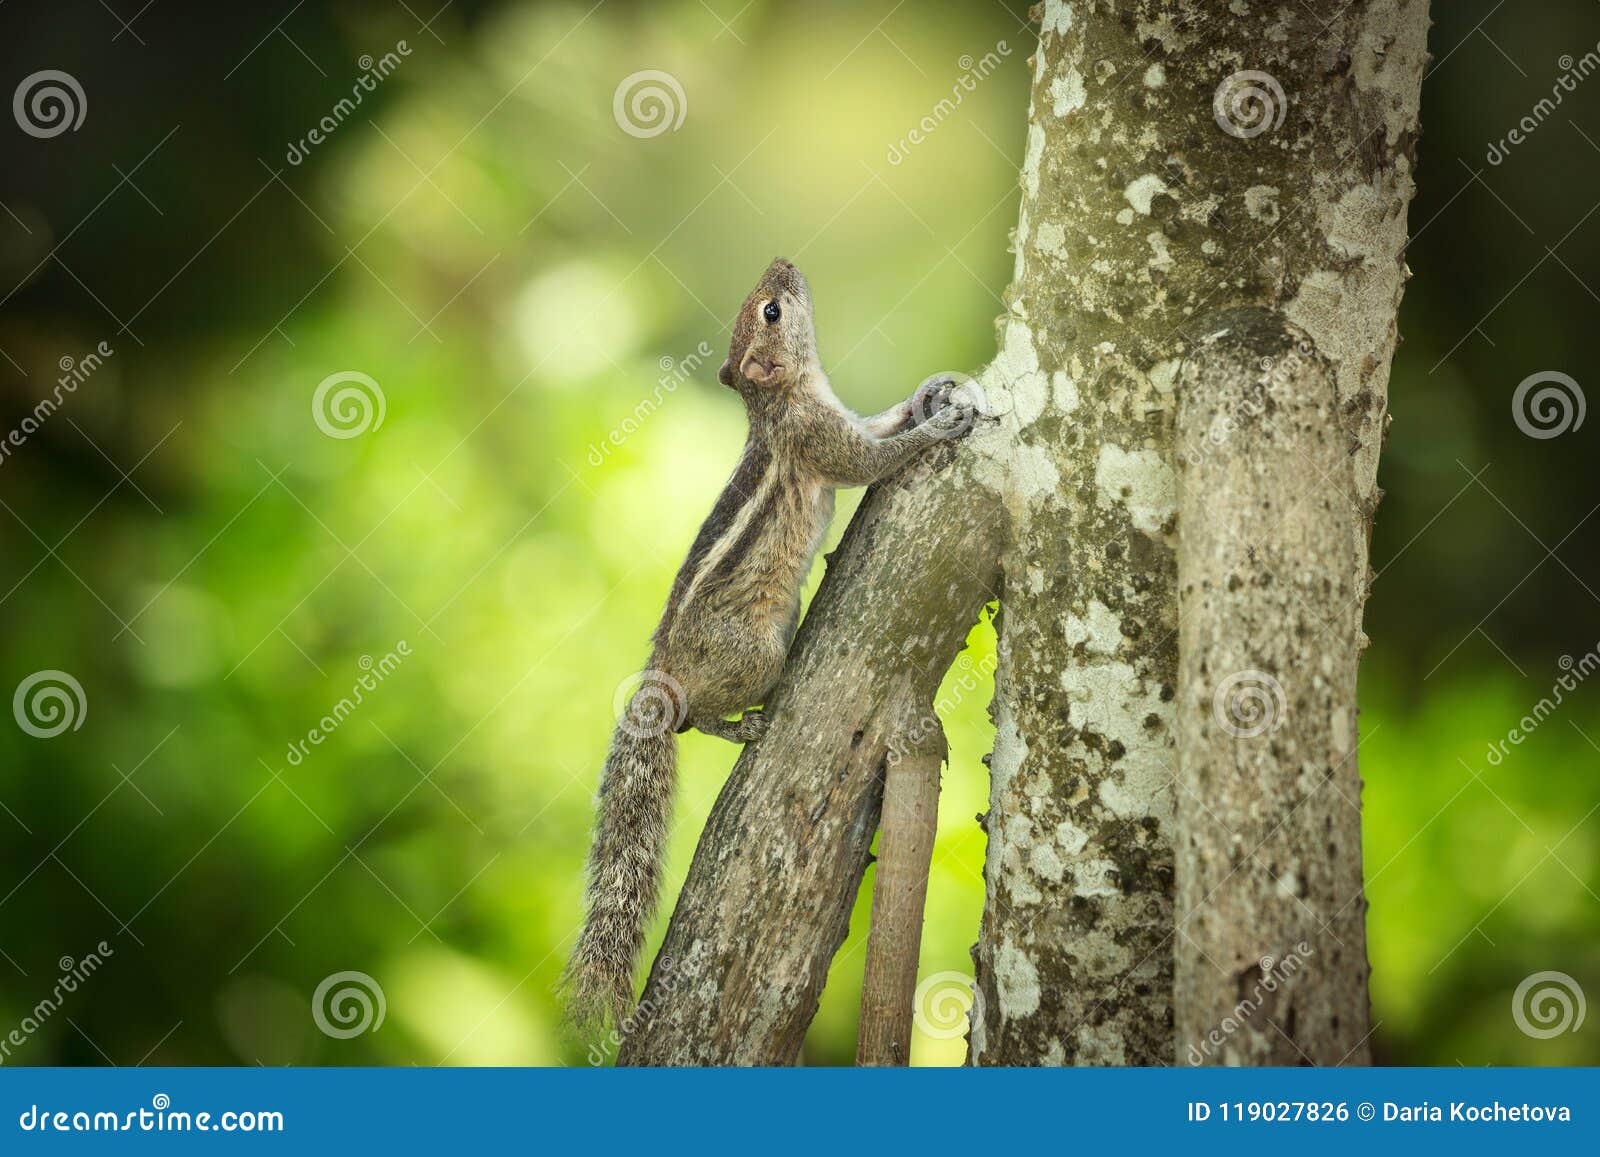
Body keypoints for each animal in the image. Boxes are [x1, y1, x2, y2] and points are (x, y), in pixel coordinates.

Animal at [565, 257, 977, 1028]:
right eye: (773, 312)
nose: (784, 263)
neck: (786, 395)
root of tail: (660, 670)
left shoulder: (840, 417)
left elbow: (877, 422)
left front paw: (923, 396)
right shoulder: (824, 438)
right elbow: (870, 459)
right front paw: (938, 427)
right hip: (756, 656)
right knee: (697, 717)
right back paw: (743, 727)